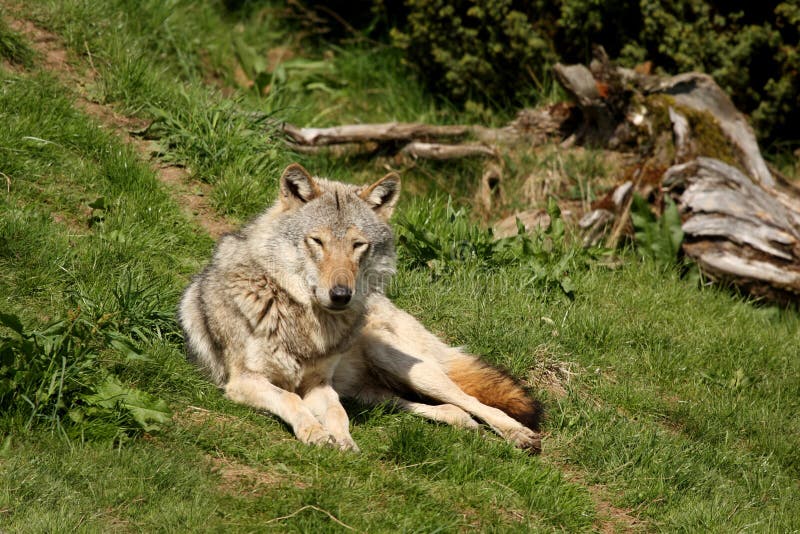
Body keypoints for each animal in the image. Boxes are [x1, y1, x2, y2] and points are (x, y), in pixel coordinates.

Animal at [178, 163, 543, 453]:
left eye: (358, 245)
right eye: (317, 241)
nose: (341, 295)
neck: (302, 318)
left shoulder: (319, 385)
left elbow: (336, 414)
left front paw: (342, 440)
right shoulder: (243, 381)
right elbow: (291, 399)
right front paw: (316, 433)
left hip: (405, 366)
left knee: (470, 400)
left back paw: (517, 433)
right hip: (371, 391)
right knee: (440, 407)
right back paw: (462, 422)